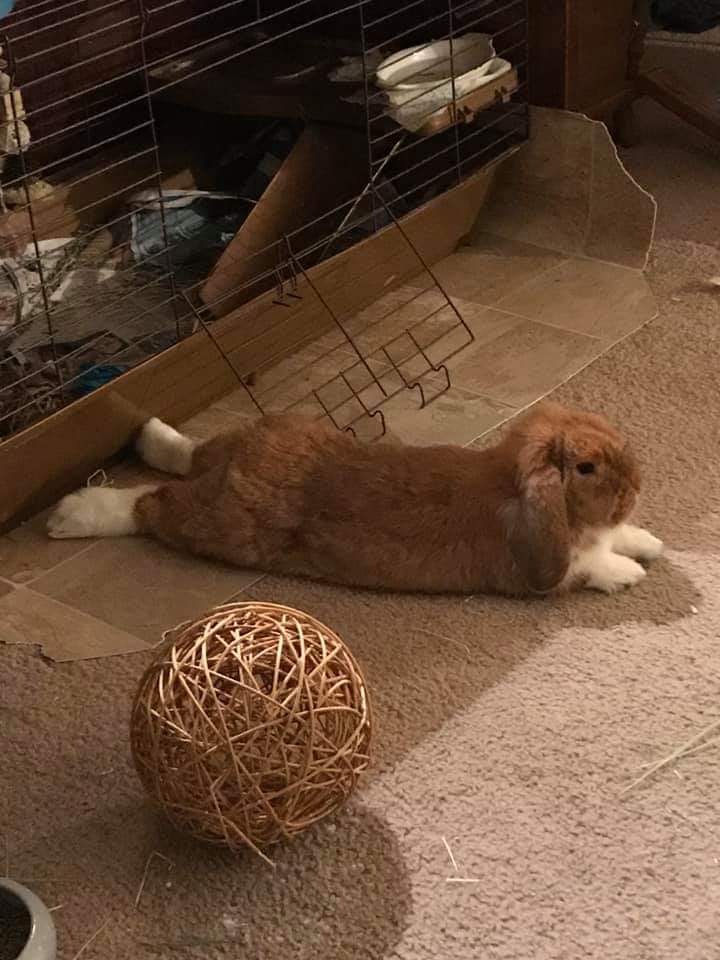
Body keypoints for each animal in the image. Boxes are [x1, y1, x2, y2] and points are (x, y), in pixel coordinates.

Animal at [46, 402, 663, 596]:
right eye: (586, 468)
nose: (636, 486)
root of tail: (232, 468)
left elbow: (617, 539)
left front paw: (648, 542)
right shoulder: (545, 568)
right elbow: (586, 566)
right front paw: (629, 573)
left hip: (239, 447)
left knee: (183, 454)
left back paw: (147, 432)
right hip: (219, 529)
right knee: (149, 505)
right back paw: (70, 515)